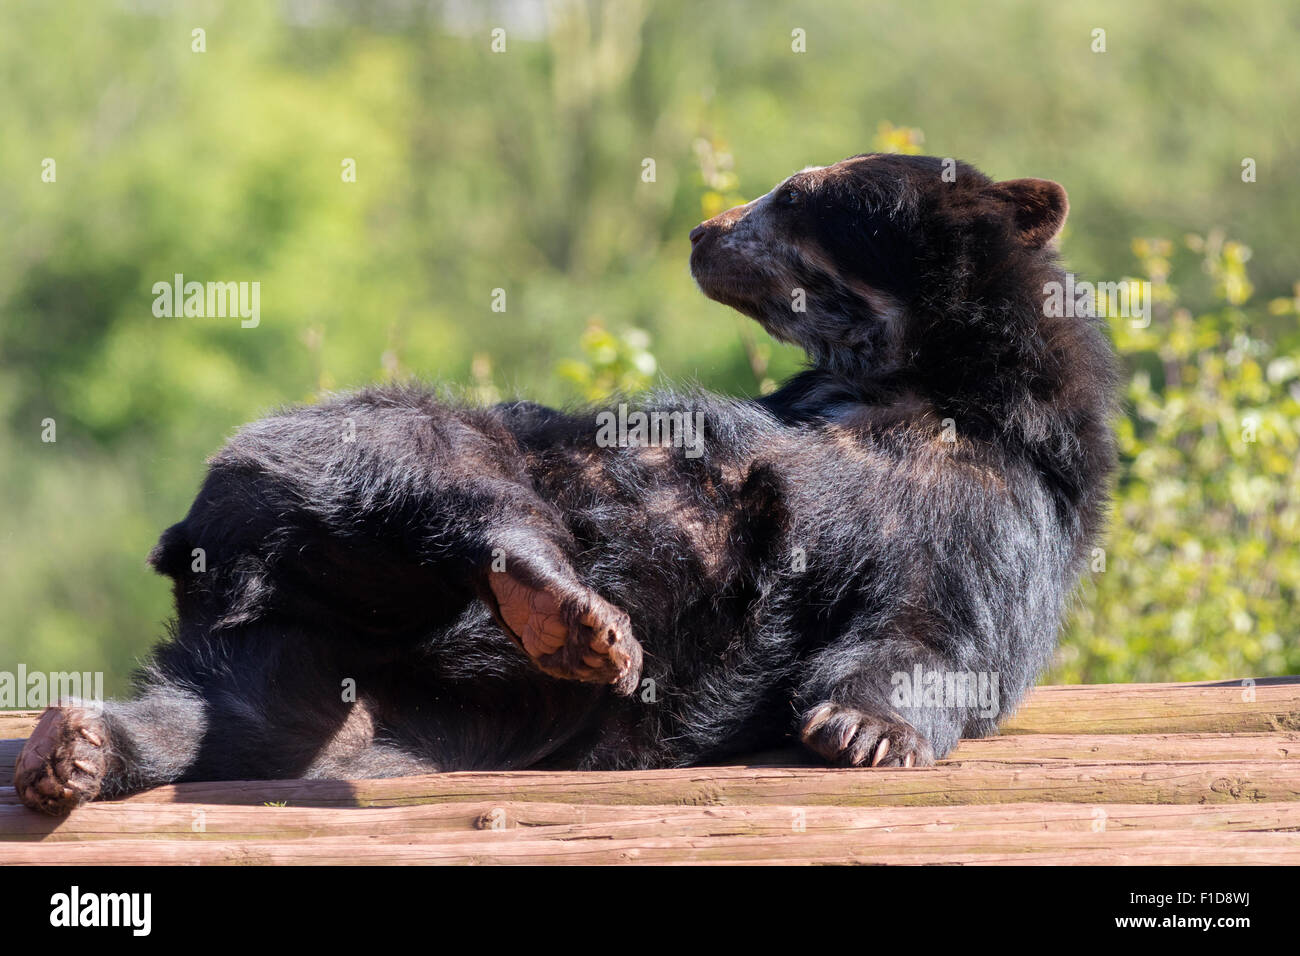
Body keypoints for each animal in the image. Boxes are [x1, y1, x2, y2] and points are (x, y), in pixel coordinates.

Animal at [15, 153, 1116, 814]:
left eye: (800, 194)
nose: (702, 230)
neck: (916, 382)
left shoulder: (1007, 503)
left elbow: (950, 628)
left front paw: (860, 730)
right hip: (317, 456)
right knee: (437, 465)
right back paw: (567, 608)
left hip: (314, 674)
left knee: (225, 717)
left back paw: (75, 747)